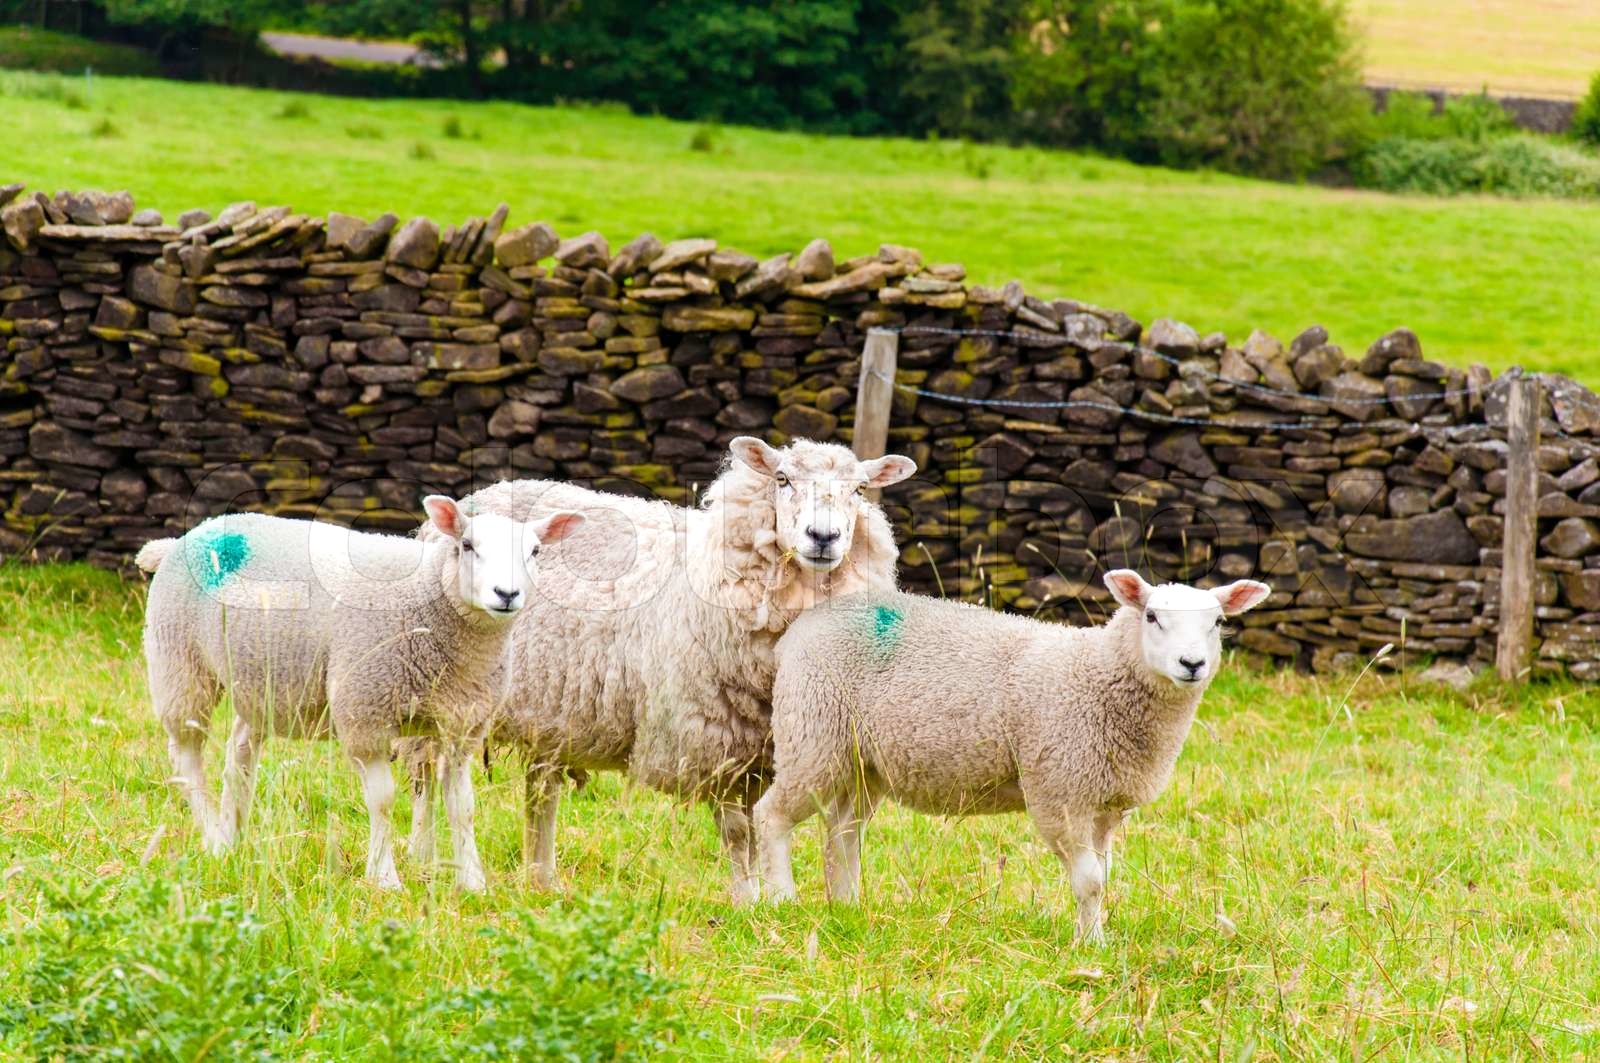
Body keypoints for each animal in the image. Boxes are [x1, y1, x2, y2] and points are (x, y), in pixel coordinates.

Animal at [136, 497, 584, 891]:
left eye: (535, 551)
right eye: (467, 545)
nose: (506, 595)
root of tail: (183, 538)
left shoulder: (464, 726)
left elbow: (463, 806)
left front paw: (473, 882)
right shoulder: (365, 712)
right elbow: (382, 801)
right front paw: (384, 879)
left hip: (261, 681)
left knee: (239, 756)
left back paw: (232, 839)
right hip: (179, 663)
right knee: (187, 758)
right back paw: (213, 837)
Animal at [406, 436, 917, 902]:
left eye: (860, 489)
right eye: (782, 478)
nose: (823, 537)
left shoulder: (766, 748)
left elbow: (771, 827)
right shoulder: (716, 739)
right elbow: (737, 831)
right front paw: (747, 904)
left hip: (550, 713)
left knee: (540, 794)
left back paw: (542, 881)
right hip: (434, 691)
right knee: (426, 779)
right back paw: (421, 859)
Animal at [753, 569, 1271, 941]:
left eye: (1218, 622)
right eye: (1151, 618)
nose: (1192, 664)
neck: (1099, 674)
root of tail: (807, 622)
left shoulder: (1105, 804)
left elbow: (1103, 877)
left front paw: (1097, 938)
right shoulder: (1059, 790)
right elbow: (1089, 880)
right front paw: (1088, 947)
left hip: (865, 763)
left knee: (841, 833)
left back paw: (847, 908)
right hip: (813, 733)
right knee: (771, 814)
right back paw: (780, 901)